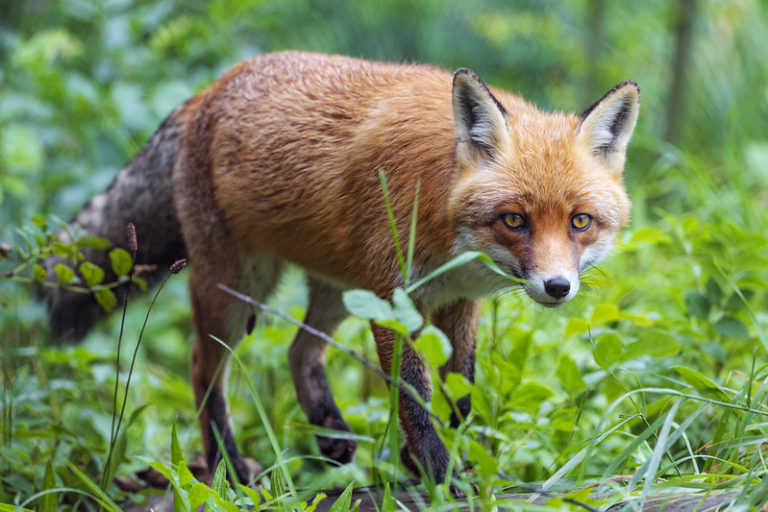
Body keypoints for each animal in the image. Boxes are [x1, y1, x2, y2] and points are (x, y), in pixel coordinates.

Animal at [48, 51, 639, 488]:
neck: (442, 217)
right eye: (514, 219)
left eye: (580, 221)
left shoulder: (456, 301)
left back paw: (330, 434)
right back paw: (227, 466)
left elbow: (461, 392)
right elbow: (415, 399)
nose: (557, 287)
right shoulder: (393, 300)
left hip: (336, 291)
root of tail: (208, 90)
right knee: (202, 366)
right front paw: (440, 477)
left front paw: (457, 462)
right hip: (238, 290)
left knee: (299, 351)